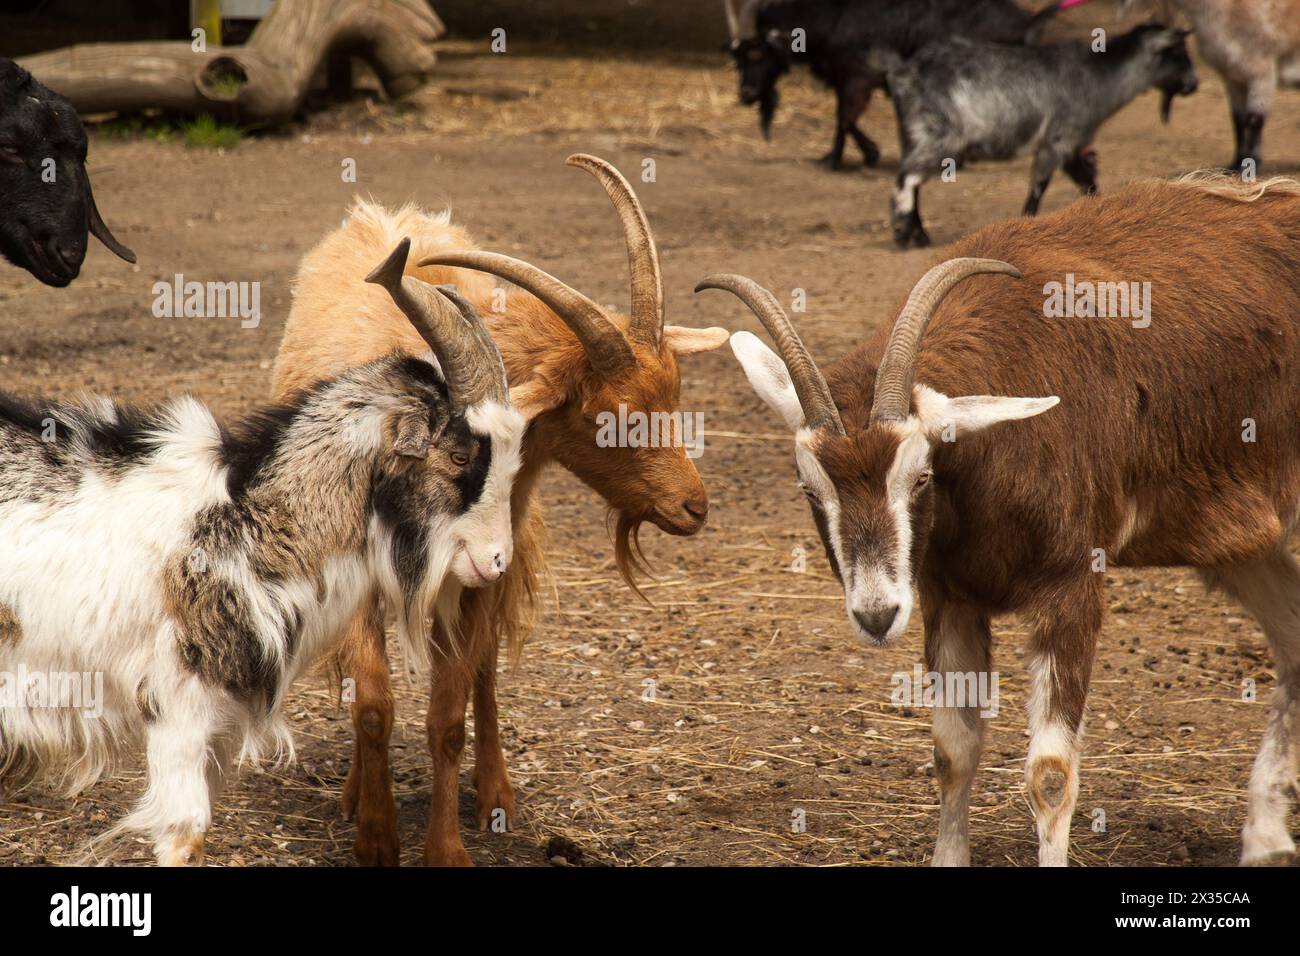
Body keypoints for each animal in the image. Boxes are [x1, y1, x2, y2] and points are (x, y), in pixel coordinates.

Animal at [273, 153, 729, 865]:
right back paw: (354, 792)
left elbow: (448, 714)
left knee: (483, 671)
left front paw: (446, 849)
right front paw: (375, 836)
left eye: (675, 396)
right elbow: (371, 704)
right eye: (607, 417)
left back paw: (495, 793)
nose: (694, 506)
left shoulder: (477, 570)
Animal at [702, 174, 1300, 866]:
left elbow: (1050, 775)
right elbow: (953, 753)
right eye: (809, 488)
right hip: (1245, 546)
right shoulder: (951, 598)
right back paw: (1266, 840)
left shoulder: (1072, 590)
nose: (877, 615)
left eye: (922, 475)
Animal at [722, 0, 1068, 170]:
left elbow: (844, 118)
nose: (746, 95)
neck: (832, 16)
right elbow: (846, 120)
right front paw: (858, 154)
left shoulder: (857, 78)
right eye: (736, 59)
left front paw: (839, 159)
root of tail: (1026, 21)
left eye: (756, 52)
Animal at [883, 23, 1198, 247]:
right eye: (1177, 54)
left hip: (913, 135)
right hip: (938, 135)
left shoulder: (1070, 145)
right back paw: (902, 234)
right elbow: (1040, 185)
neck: (1100, 74)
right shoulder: (1059, 138)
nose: (1194, 84)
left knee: (913, 181)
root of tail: (903, 73)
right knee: (906, 178)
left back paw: (919, 234)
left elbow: (1086, 180)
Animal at [1164, 0, 1300, 170]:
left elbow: (1255, 119)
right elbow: (1238, 119)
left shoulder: (1263, 70)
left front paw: (1253, 162)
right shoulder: (1233, 77)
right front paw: (1235, 164)